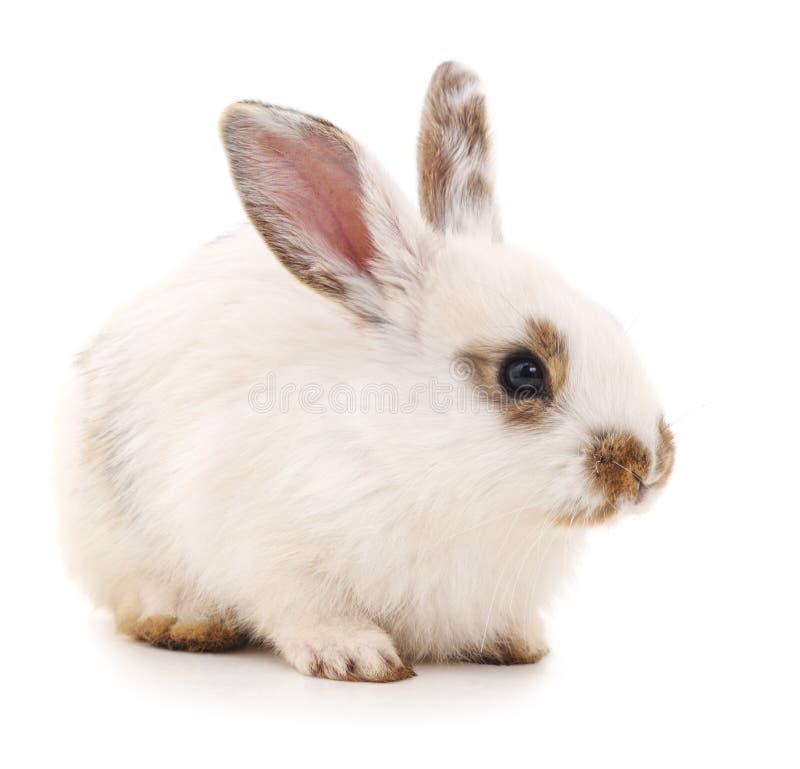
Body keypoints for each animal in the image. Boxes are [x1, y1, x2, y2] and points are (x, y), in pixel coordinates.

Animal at [55, 61, 675, 682]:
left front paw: (517, 643)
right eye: (523, 373)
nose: (647, 468)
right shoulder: (271, 550)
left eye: (610, 324)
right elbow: (306, 609)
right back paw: (186, 624)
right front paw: (357, 656)